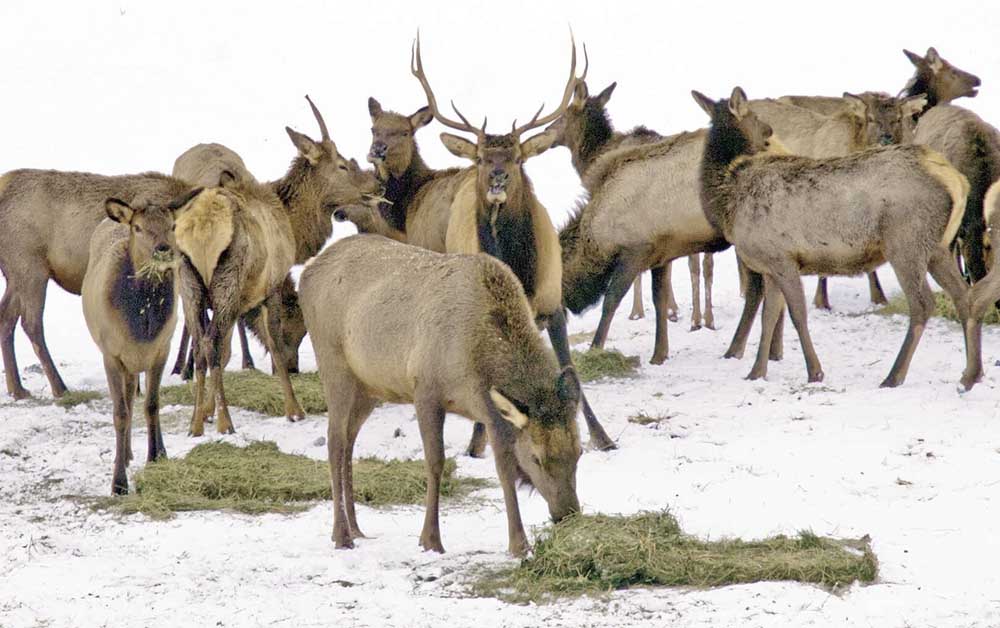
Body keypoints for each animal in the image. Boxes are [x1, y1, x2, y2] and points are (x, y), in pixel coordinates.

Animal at [0, 170, 191, 400]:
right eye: (137, 228)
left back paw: (17, 389)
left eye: (172, 227)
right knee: (31, 323)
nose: (163, 250)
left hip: (15, 274)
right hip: (31, 267)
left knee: (5, 317)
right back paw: (59, 387)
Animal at [81, 190, 198, 494]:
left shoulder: (161, 349)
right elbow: (120, 413)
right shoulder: (111, 353)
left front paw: (155, 456)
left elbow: (152, 405)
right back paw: (125, 454)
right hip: (122, 359)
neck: (141, 325)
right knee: (127, 402)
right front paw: (119, 482)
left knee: (139, 398)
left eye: (172, 226)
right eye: (138, 228)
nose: (163, 249)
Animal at [299, 234, 582, 557]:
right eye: (536, 458)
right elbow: (436, 462)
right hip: (334, 365)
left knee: (348, 440)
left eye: (579, 452)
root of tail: (305, 274)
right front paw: (430, 539)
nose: (568, 513)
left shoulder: (490, 411)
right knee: (334, 442)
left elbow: (504, 469)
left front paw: (518, 544)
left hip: (368, 387)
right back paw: (342, 535)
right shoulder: (425, 390)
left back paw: (357, 528)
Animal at [692, 86, 981, 389]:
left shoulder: (782, 258)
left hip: (906, 242)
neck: (727, 199)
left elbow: (797, 314)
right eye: (759, 119)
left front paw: (815, 372)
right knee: (964, 297)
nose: (771, 132)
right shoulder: (769, 266)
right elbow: (768, 317)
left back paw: (893, 376)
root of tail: (956, 180)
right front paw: (756, 372)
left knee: (923, 303)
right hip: (937, 247)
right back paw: (970, 375)